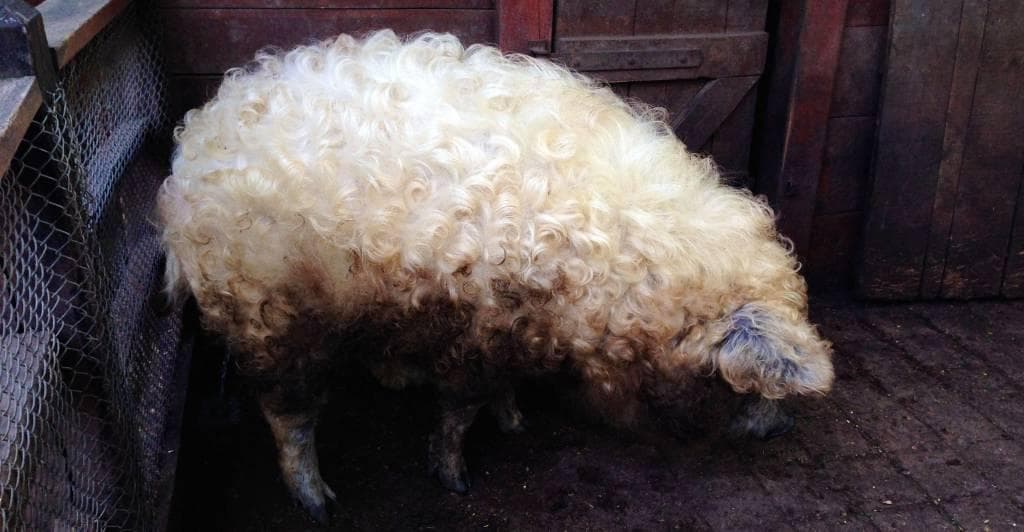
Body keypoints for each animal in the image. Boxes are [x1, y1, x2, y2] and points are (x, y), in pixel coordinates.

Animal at [157, 30, 833, 523]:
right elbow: (461, 407)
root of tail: (192, 146)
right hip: (266, 309)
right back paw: (318, 504)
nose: (782, 431)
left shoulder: (509, 324)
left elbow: (497, 391)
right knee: (287, 411)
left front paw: (516, 423)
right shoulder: (478, 323)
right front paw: (457, 480)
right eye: (747, 383)